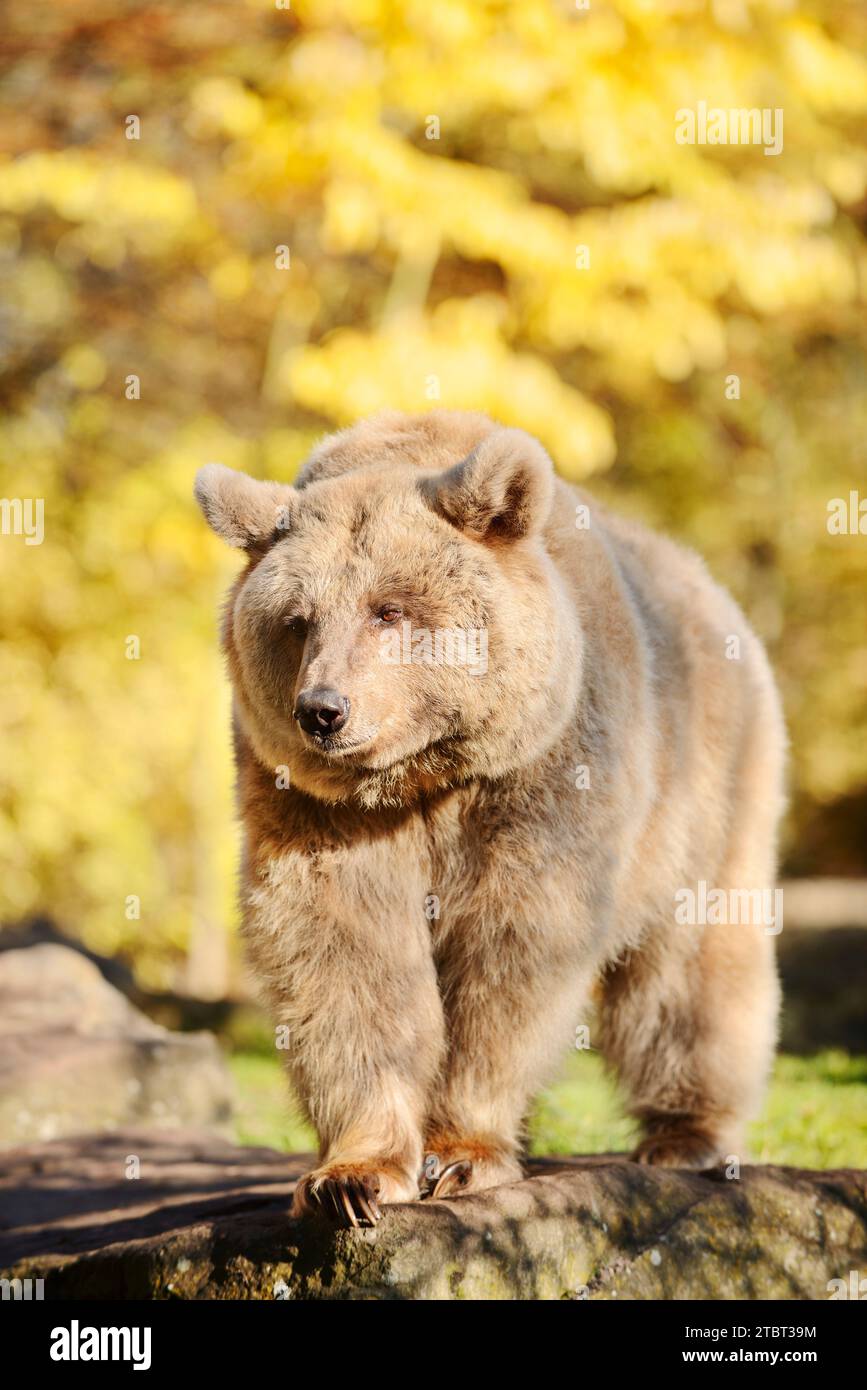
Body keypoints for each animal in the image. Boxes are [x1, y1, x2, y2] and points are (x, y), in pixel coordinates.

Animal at [194, 408, 786, 1227]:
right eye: (297, 620)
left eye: (388, 609)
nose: (322, 710)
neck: (425, 772)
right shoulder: (315, 806)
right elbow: (345, 950)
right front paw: (352, 1175)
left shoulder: (540, 775)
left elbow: (515, 949)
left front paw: (461, 1155)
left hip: (708, 785)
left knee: (692, 967)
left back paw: (686, 1134)